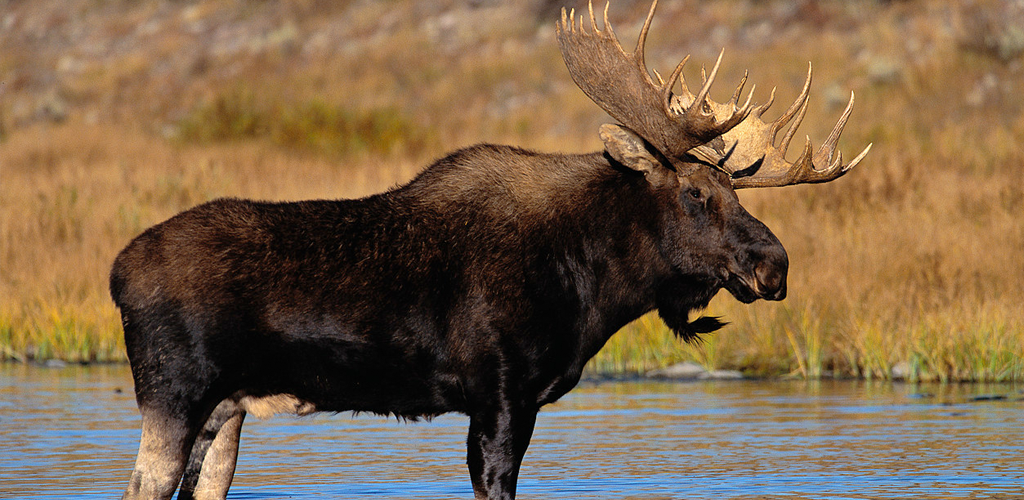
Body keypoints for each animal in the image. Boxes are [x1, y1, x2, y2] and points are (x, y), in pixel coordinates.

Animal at [110, 1, 870, 499]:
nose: (774, 265)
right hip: (176, 391)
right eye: (695, 193)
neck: (591, 286)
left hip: (227, 410)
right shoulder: (502, 392)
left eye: (735, 190)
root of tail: (118, 272)